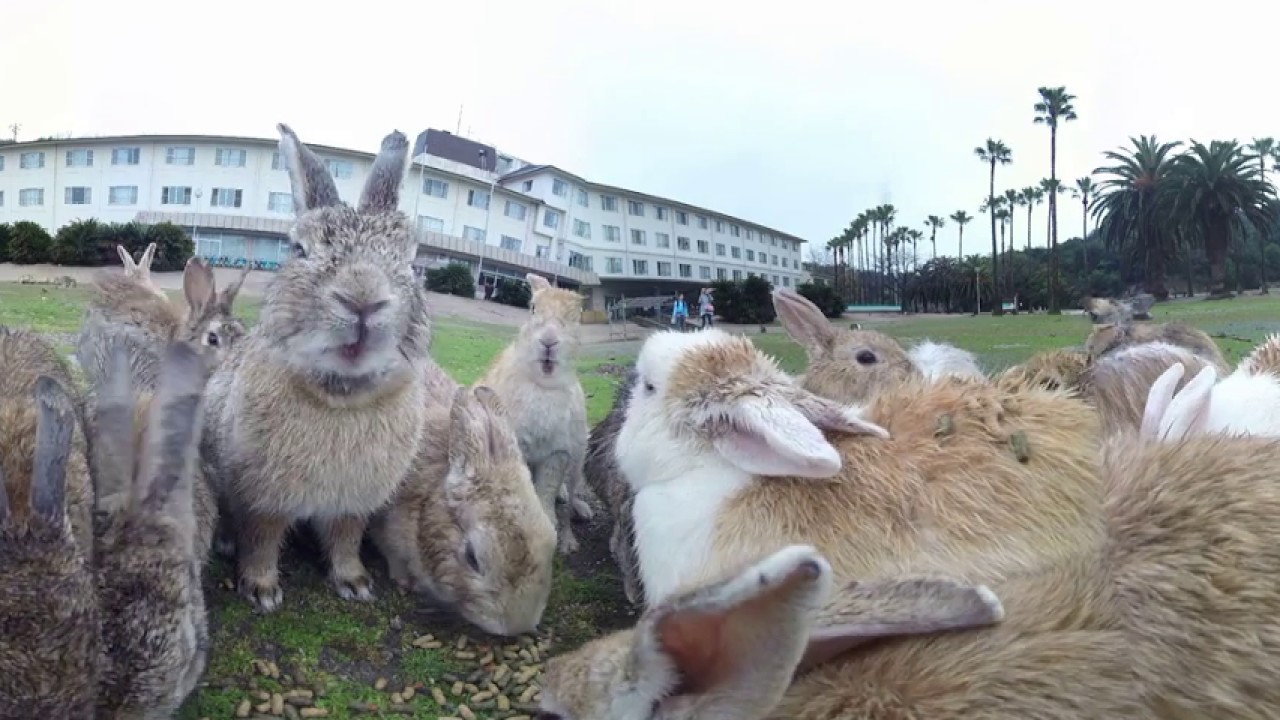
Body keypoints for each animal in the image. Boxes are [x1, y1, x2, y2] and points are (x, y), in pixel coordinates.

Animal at [202, 124, 432, 611]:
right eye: (299, 249)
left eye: (410, 261)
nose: (363, 300)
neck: (340, 395)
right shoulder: (262, 495)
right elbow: (262, 539)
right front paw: (262, 591)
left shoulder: (355, 501)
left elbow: (346, 538)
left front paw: (355, 583)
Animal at [478, 273, 590, 555]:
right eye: (533, 309)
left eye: (576, 317)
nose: (548, 341)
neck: (542, 383)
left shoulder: (557, 454)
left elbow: (547, 490)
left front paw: (550, 525)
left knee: (570, 491)